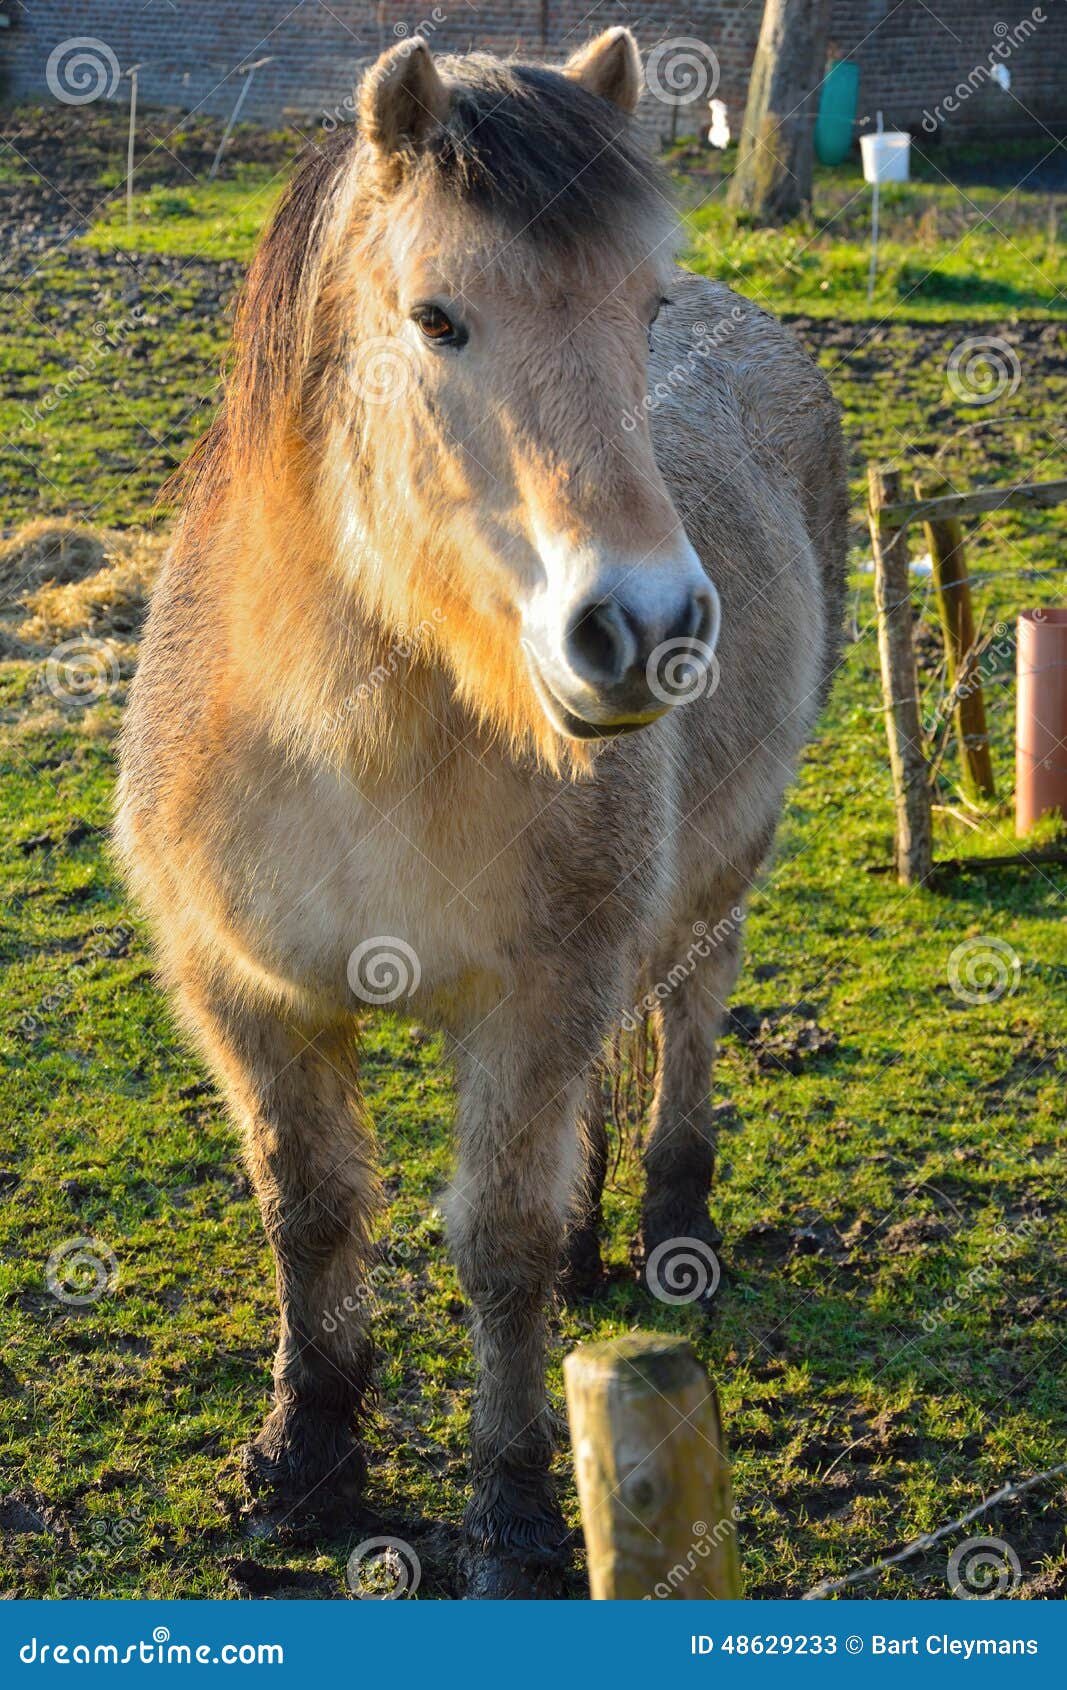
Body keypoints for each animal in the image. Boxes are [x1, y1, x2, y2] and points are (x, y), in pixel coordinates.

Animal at [115, 28, 848, 1597]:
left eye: (643, 310)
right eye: (436, 319)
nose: (648, 628)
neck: (346, 733)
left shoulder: (533, 995)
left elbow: (496, 1243)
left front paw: (512, 1510)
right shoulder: (245, 995)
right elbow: (308, 1205)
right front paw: (305, 1455)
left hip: (720, 877)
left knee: (686, 1012)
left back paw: (668, 1217)